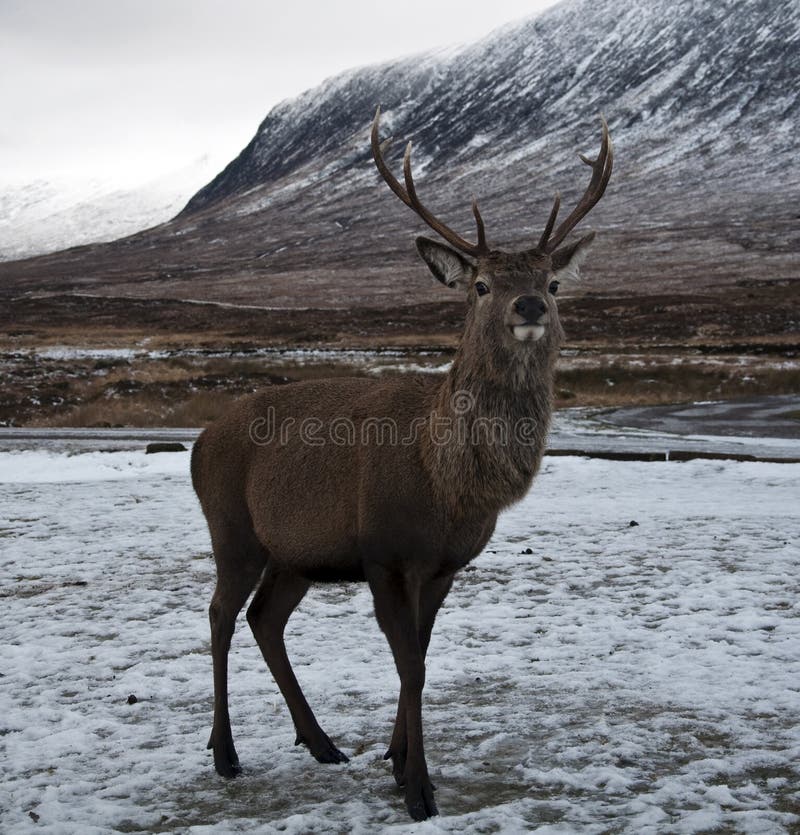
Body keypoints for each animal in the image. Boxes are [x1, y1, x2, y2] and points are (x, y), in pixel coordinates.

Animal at [190, 106, 613, 821]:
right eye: (481, 284)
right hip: (234, 531)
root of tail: (196, 442)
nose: (529, 306)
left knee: (263, 618)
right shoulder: (384, 554)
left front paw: (394, 760)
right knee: (221, 614)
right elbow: (409, 664)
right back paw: (225, 754)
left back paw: (321, 742)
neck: (447, 485)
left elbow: (421, 654)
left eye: (552, 282)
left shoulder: (443, 565)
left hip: (296, 554)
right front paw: (418, 789)